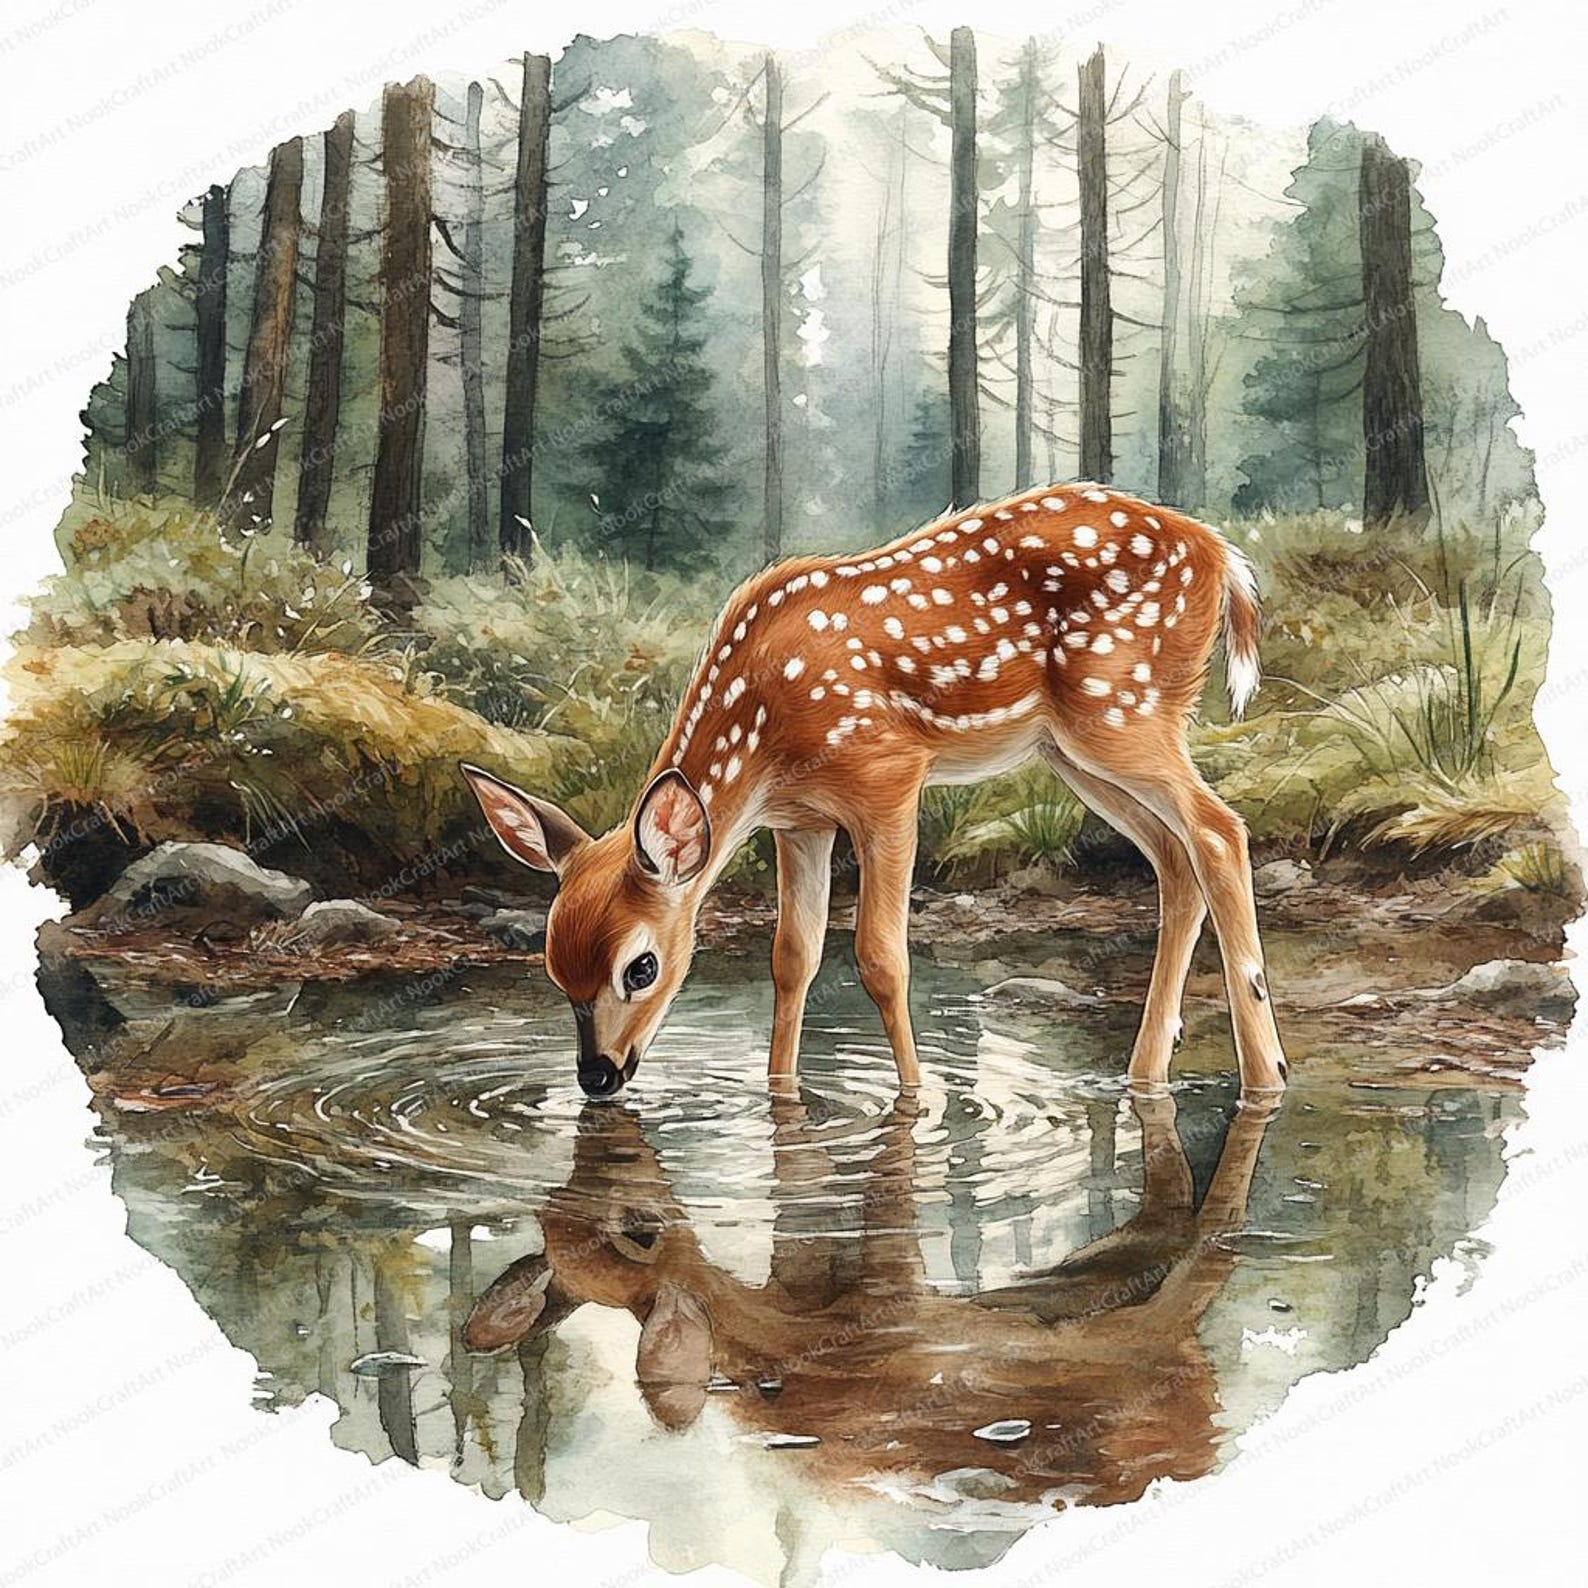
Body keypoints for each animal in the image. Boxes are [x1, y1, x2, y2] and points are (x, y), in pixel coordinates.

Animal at [462, 483, 1288, 1099]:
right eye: (551, 965)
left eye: (641, 967)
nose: (596, 1076)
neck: (765, 728)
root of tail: (1220, 554)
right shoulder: (800, 821)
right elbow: (792, 956)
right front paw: (780, 1094)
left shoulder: (888, 776)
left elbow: (880, 957)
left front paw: (915, 1101)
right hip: (1074, 748)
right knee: (1174, 859)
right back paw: (1146, 1072)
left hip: (1121, 709)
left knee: (1219, 831)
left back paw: (1267, 1074)